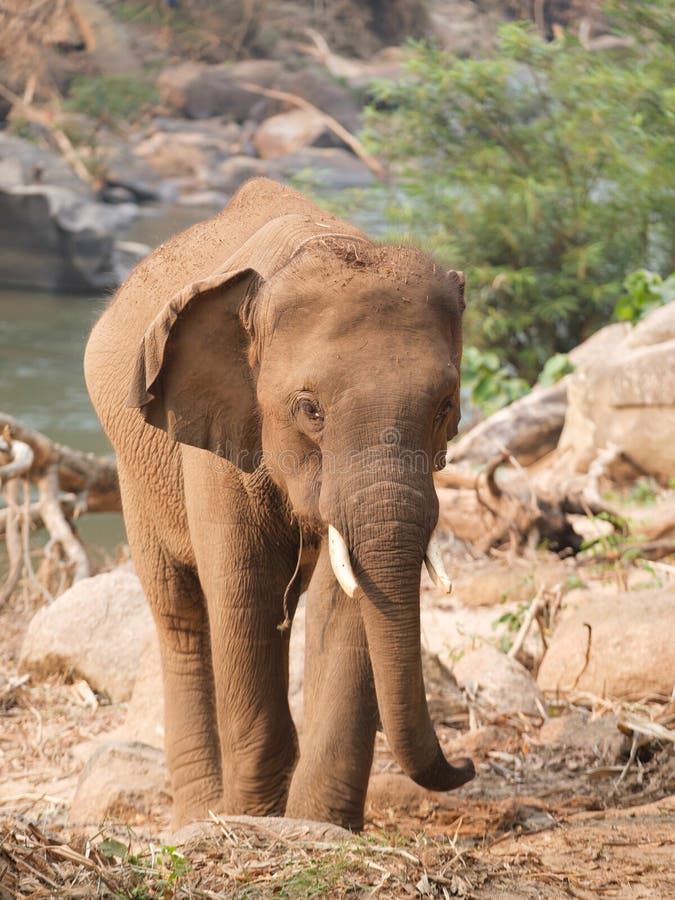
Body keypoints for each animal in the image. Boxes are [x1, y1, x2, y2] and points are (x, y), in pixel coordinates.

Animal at [84, 177, 475, 830]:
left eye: (447, 405)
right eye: (309, 408)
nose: (466, 767)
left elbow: (349, 603)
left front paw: (320, 826)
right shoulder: (215, 441)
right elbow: (246, 589)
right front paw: (253, 821)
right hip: (134, 472)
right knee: (178, 612)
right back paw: (198, 816)